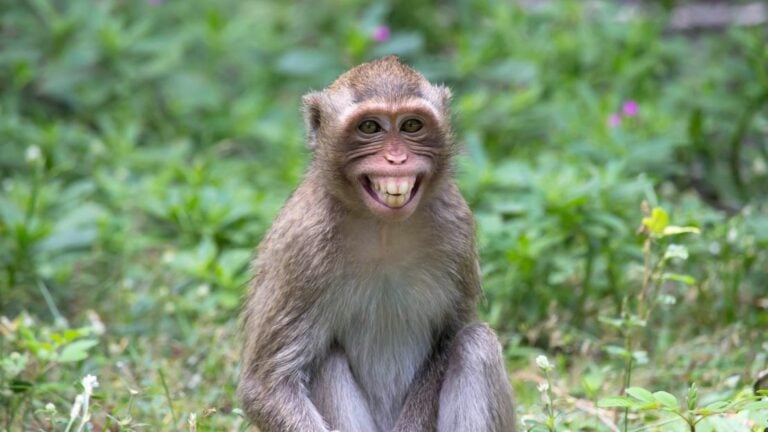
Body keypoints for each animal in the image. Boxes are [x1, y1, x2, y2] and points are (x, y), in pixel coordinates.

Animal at [238, 56, 515, 432]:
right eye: (369, 127)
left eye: (411, 125)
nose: (396, 160)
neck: (383, 229)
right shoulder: (301, 244)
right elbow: (267, 386)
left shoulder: (456, 224)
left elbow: (450, 336)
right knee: (326, 361)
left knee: (476, 343)